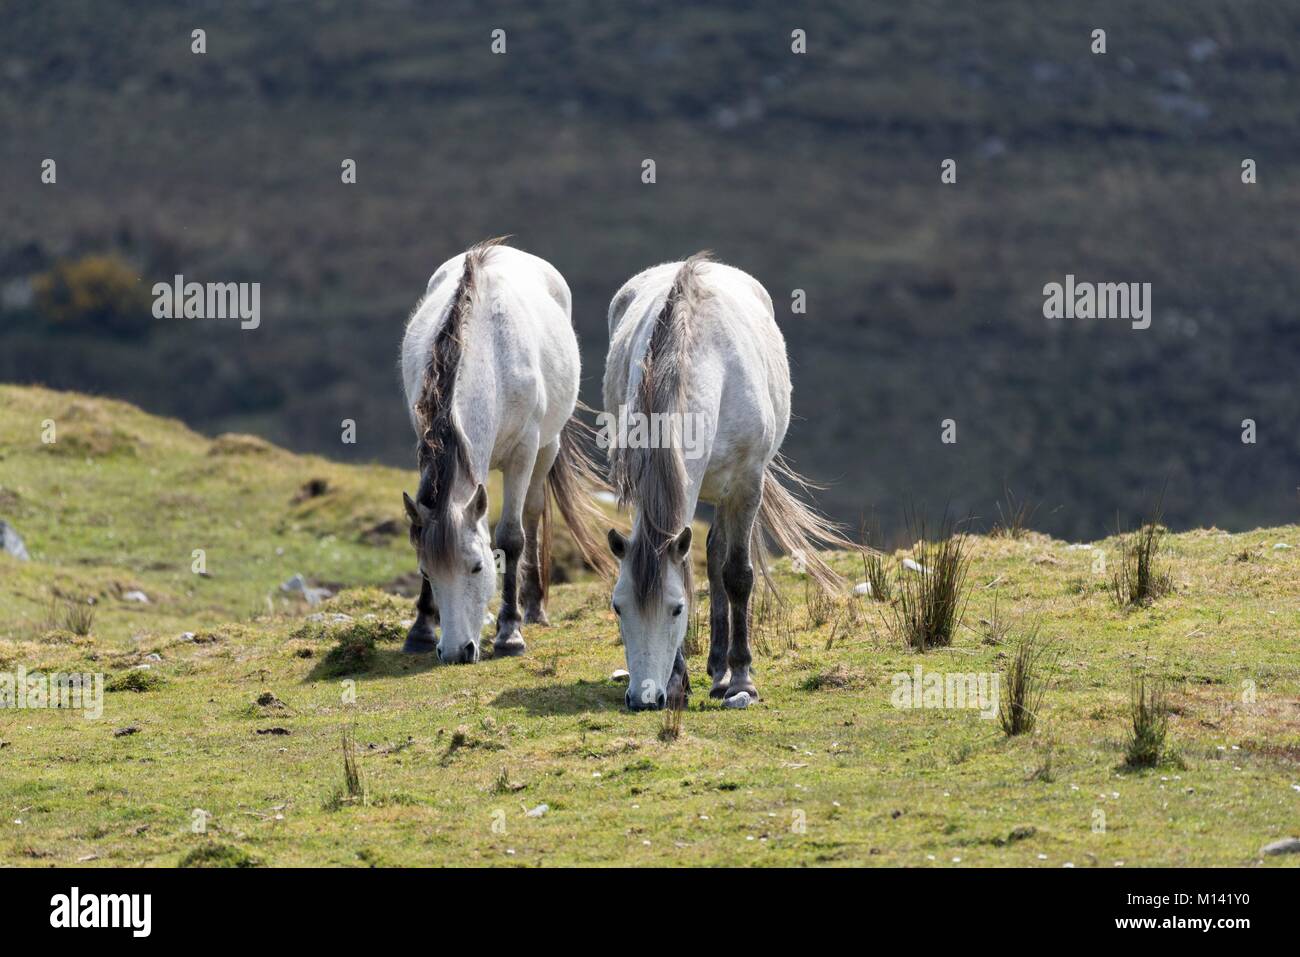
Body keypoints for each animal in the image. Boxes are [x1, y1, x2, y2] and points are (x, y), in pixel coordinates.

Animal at [400, 237, 612, 664]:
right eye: (427, 572)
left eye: (478, 568)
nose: (455, 652)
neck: (488, 353)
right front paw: (420, 629)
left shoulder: (523, 452)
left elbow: (512, 537)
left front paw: (509, 633)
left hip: (546, 447)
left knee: (531, 514)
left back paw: (532, 608)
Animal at [602, 253, 848, 710]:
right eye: (617, 607)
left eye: (677, 609)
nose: (644, 698)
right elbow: (690, 567)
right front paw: (678, 680)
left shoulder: (747, 484)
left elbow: (737, 575)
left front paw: (742, 680)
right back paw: (715, 668)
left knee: (720, 555)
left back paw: (724, 672)